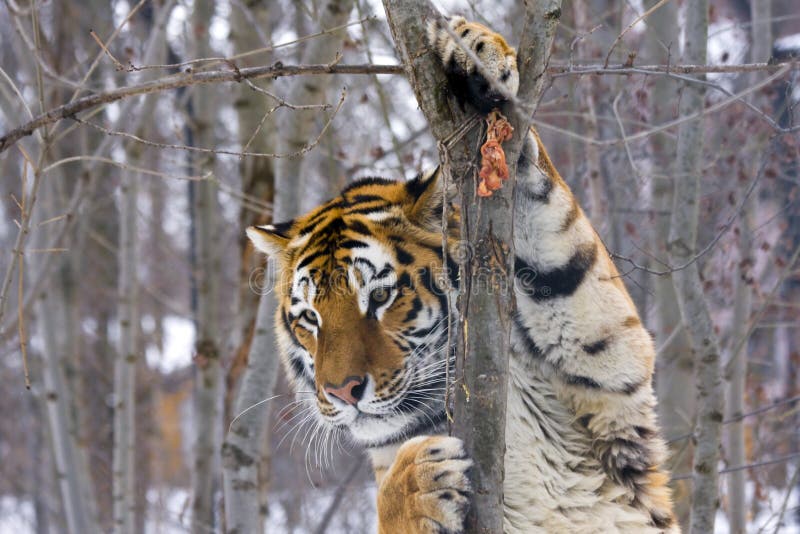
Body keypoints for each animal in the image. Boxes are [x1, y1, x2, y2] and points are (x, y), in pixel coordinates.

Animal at [247, 15, 678, 534]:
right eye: (310, 318)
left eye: (380, 297)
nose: (341, 391)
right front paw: (414, 484)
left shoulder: (609, 374)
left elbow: (544, 204)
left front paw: (473, 50)